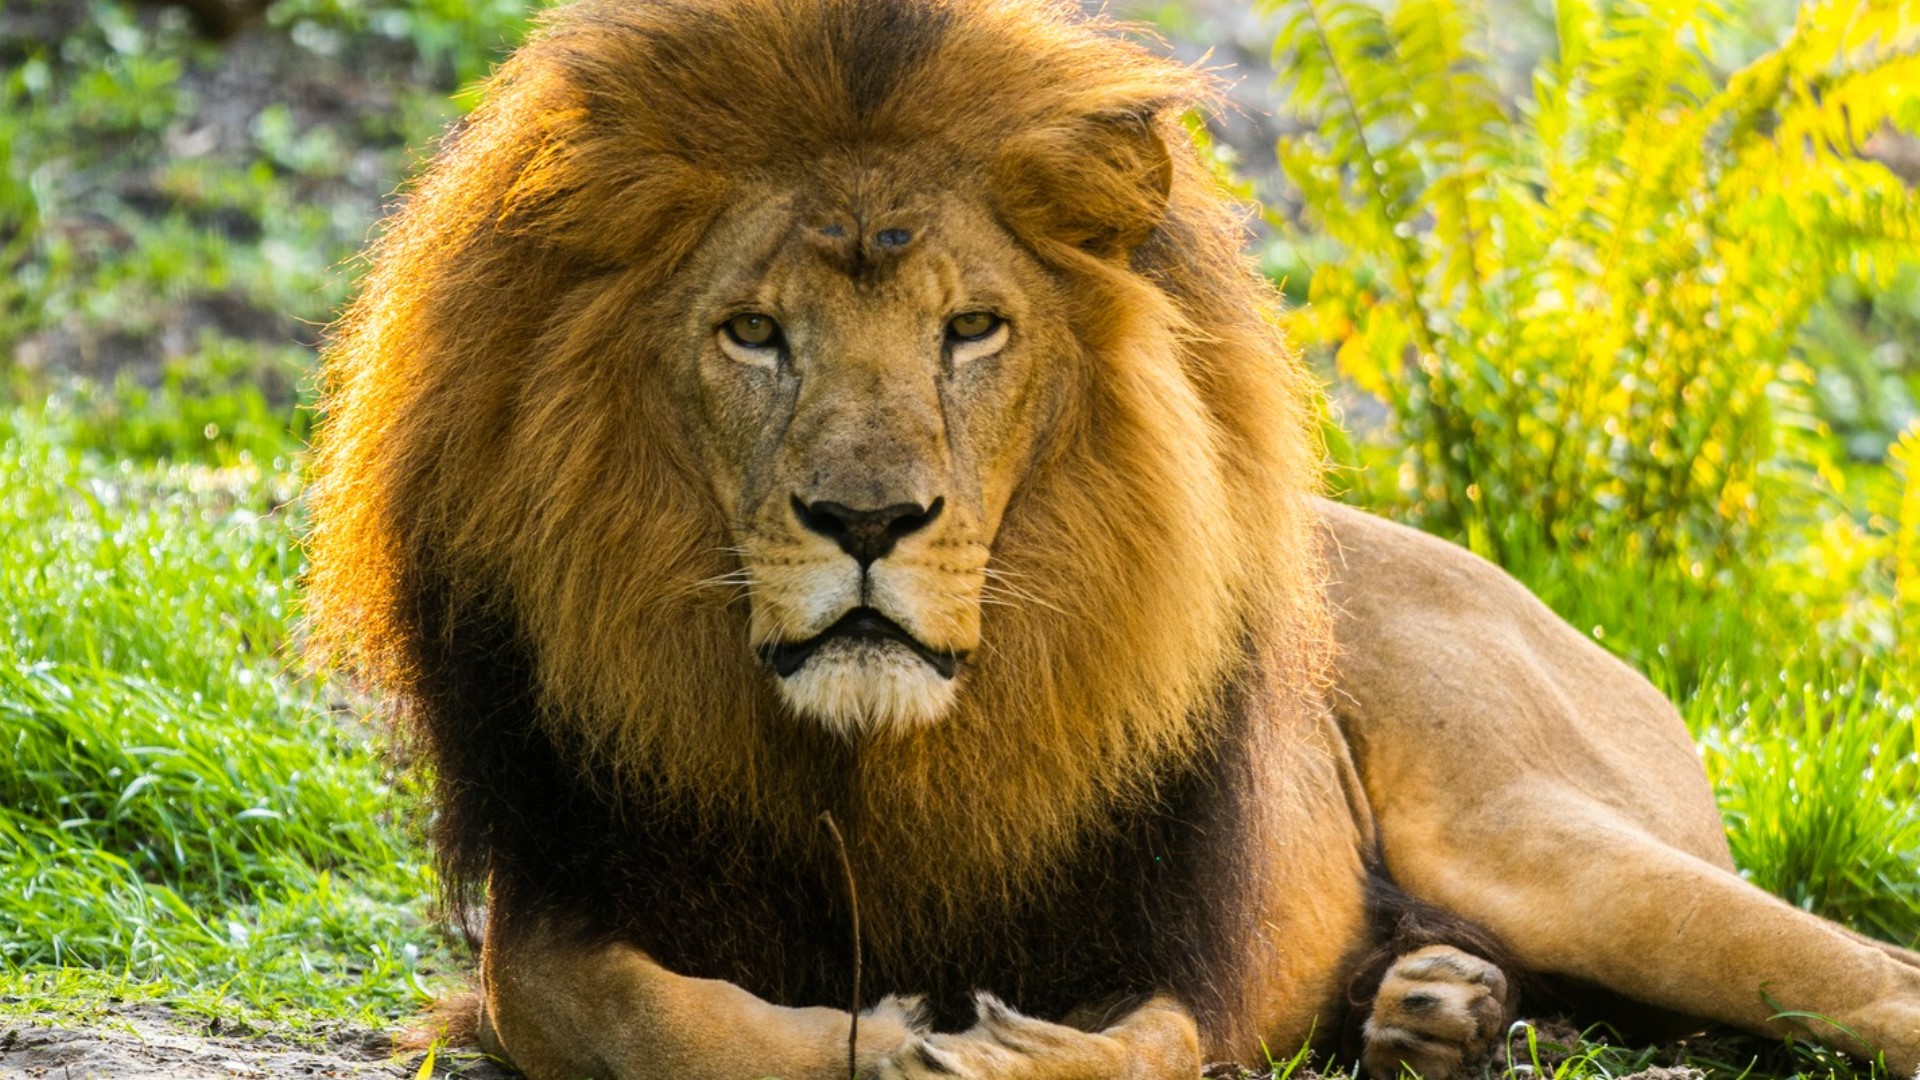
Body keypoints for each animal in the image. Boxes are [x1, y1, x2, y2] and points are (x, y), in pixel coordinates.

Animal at [302, 1, 1920, 1078]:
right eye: (754, 334)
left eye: (972, 330)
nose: (868, 521)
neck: (880, 764)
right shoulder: (569, 887)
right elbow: (641, 1013)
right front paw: (885, 1035)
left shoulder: (1176, 931)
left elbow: (1145, 1043)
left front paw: (971, 1047)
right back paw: (1432, 1008)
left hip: (1538, 834)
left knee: (1875, 977)